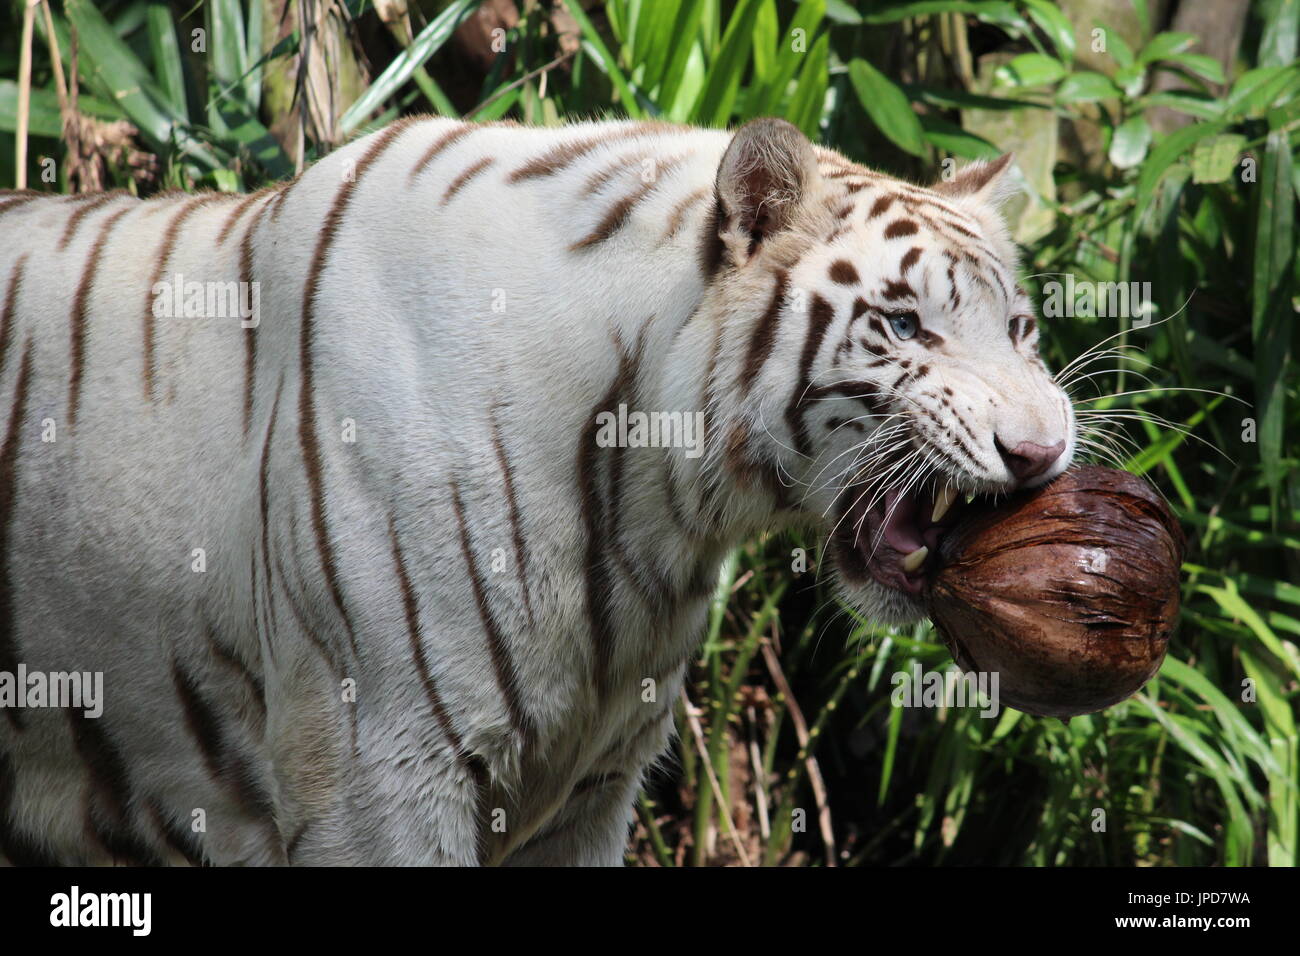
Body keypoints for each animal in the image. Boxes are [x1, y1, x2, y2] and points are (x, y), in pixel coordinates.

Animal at [0, 115, 1074, 866]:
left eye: (1019, 328)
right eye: (902, 326)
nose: (1042, 451)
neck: (650, 505)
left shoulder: (593, 791)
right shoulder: (374, 774)